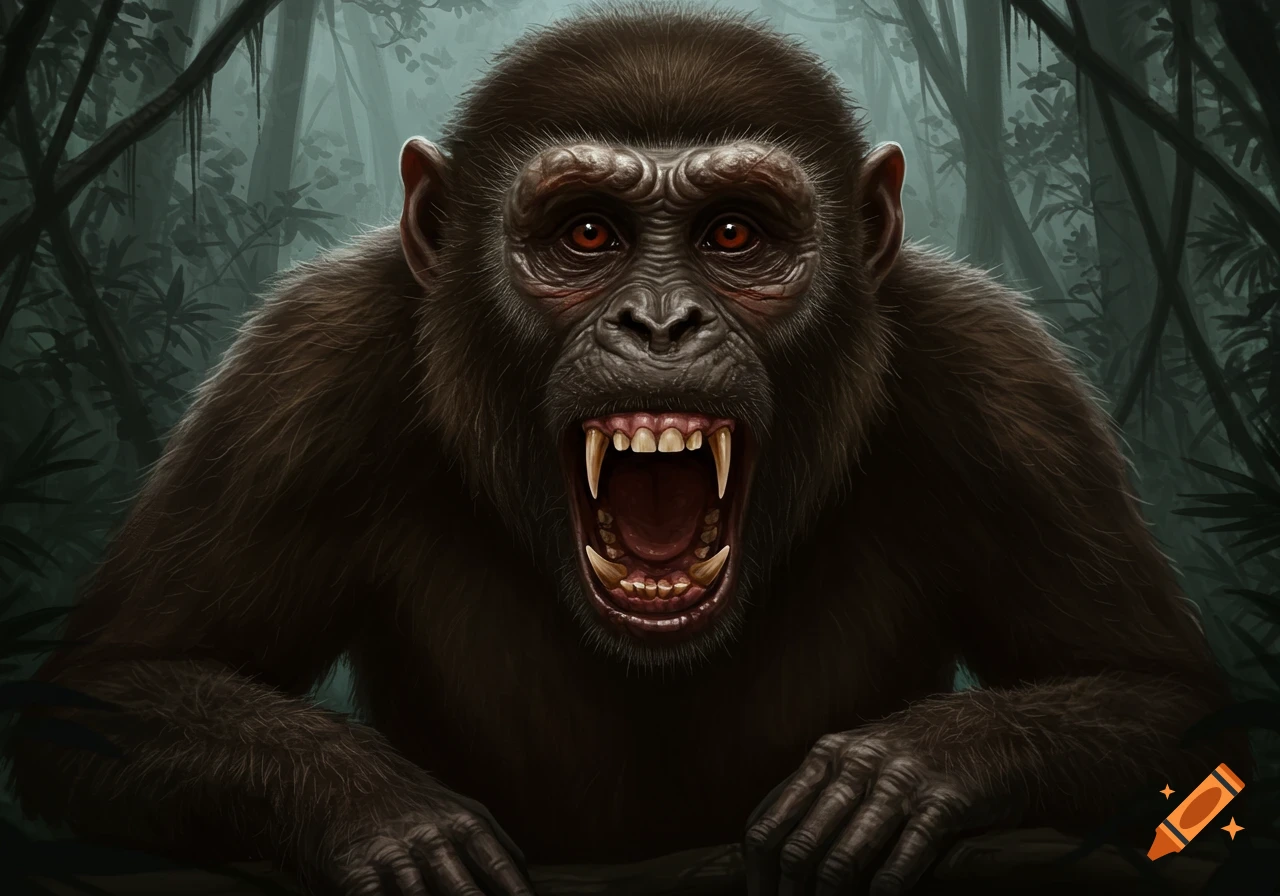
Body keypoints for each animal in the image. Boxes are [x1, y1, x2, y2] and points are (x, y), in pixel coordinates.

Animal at [8, 6, 1247, 896]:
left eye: (734, 233)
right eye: (587, 233)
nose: (659, 321)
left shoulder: (1001, 384)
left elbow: (1162, 693)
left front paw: (898, 770)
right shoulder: (303, 371)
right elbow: (110, 686)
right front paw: (385, 813)